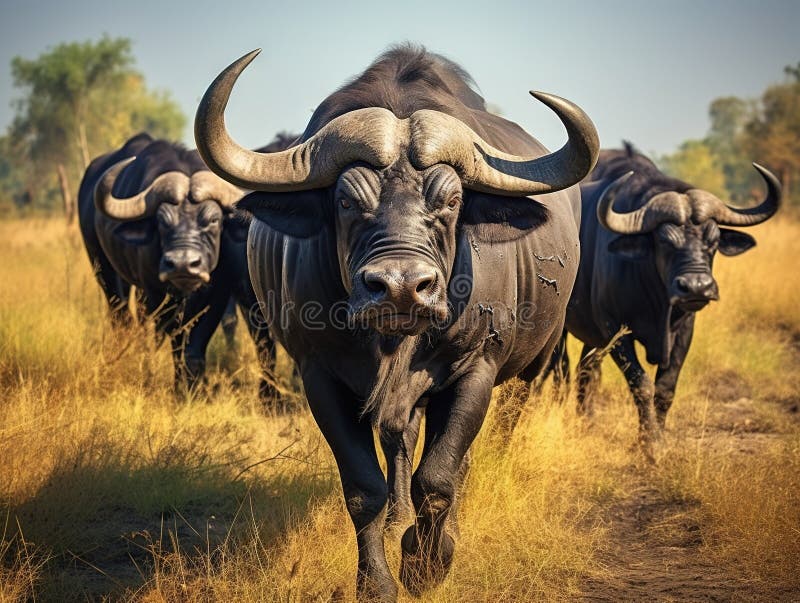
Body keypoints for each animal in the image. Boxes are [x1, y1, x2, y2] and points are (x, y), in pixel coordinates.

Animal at [78, 133, 278, 403]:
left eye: (214, 220)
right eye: (162, 221)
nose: (183, 264)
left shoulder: (216, 296)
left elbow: (193, 347)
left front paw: (195, 389)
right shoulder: (156, 294)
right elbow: (172, 340)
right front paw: (177, 386)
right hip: (103, 269)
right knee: (121, 316)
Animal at [194, 46, 599, 600]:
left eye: (451, 201)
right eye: (347, 201)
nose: (402, 287)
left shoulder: (476, 370)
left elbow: (441, 477)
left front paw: (427, 563)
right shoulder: (319, 375)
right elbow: (364, 486)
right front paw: (378, 579)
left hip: (535, 362)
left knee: (483, 439)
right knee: (399, 442)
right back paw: (397, 518)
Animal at [563, 143, 780, 445]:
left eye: (713, 240)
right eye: (665, 241)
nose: (697, 286)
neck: (659, 303)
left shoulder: (685, 330)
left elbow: (665, 388)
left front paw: (661, 438)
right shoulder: (615, 329)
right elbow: (641, 384)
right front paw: (649, 442)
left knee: (587, 369)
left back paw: (587, 420)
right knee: (561, 369)